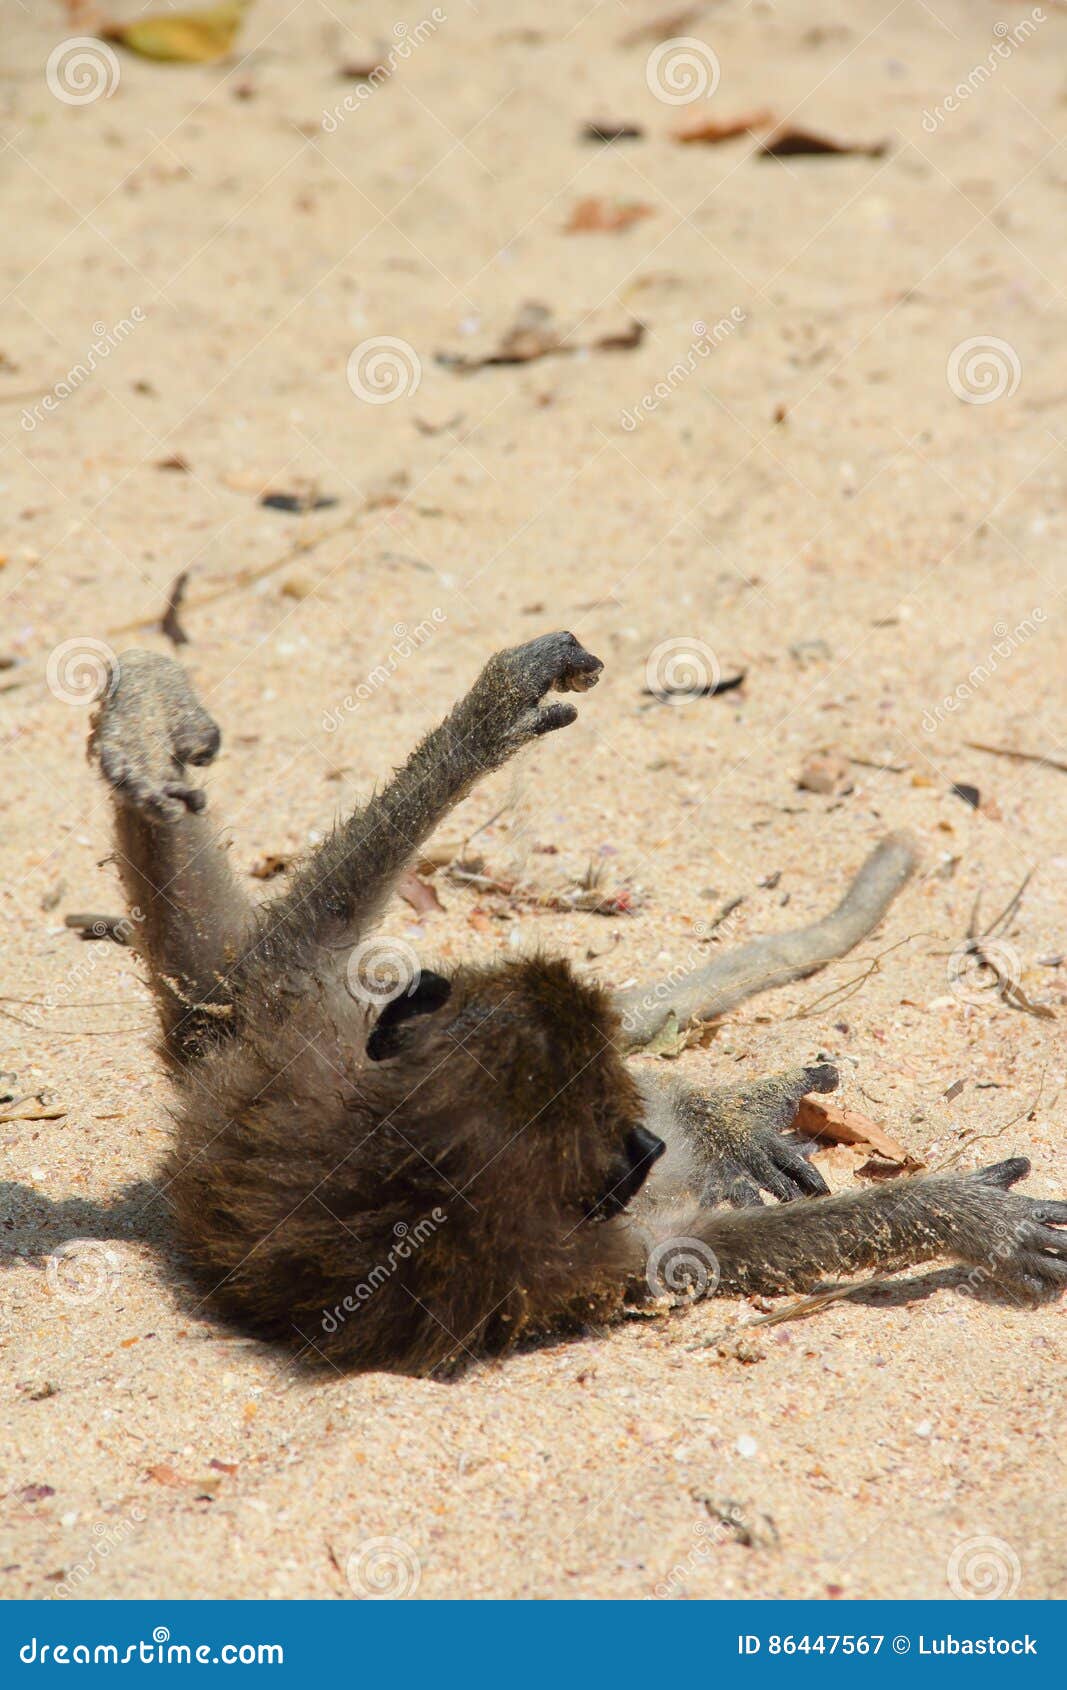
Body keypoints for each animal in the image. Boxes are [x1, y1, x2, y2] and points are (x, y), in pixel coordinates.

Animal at [88, 634, 1067, 1376]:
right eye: (619, 1138)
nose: (649, 1140)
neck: (412, 1177)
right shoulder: (587, 1249)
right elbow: (735, 1249)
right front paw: (966, 1220)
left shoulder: (294, 1056)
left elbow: (263, 966)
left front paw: (486, 721)